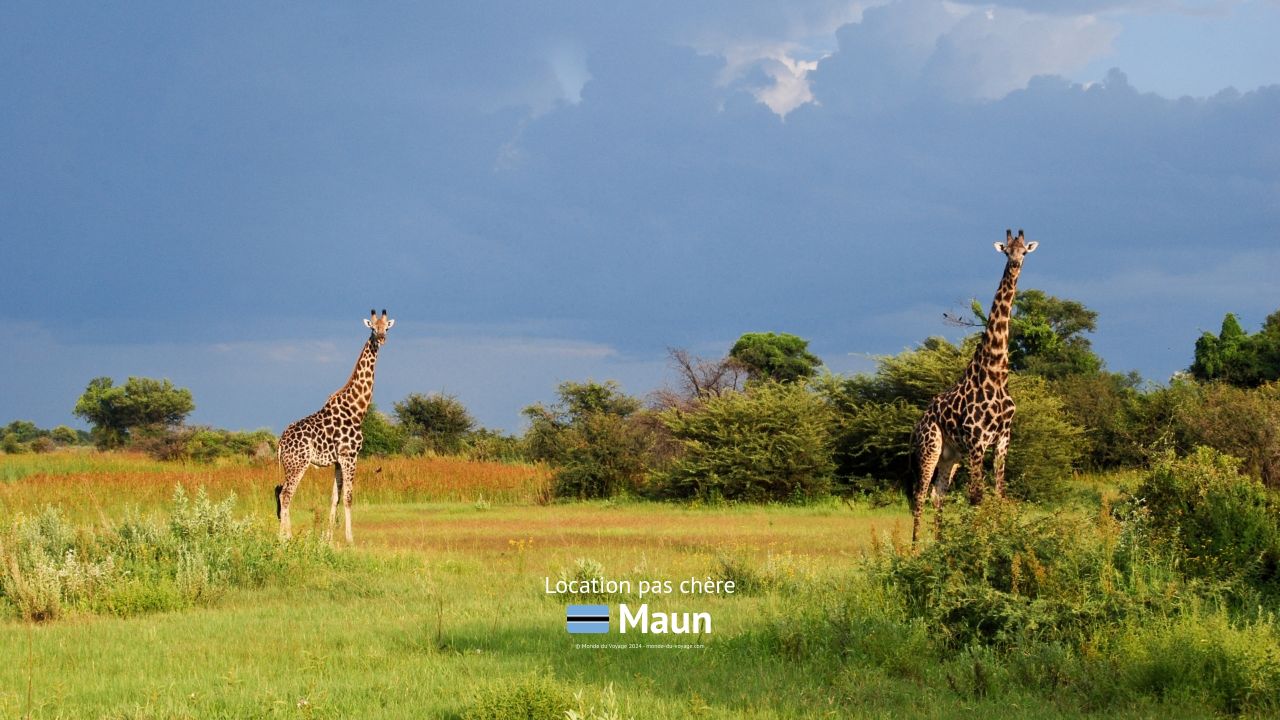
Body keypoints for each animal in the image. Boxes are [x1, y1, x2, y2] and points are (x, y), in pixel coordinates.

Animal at [279, 307, 394, 538]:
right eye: (372, 328)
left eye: (386, 328)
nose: (381, 338)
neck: (357, 409)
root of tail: (280, 442)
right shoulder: (350, 455)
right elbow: (349, 497)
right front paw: (350, 538)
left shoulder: (338, 460)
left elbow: (335, 497)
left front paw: (328, 537)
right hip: (298, 464)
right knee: (286, 495)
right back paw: (286, 538)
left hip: (290, 465)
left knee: (281, 493)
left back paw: (285, 535)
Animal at [911, 229, 1039, 543]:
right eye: (1006, 251)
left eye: (1024, 252)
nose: (1015, 265)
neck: (995, 373)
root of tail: (920, 421)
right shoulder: (977, 441)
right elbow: (976, 496)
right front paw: (980, 543)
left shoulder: (1003, 439)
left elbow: (998, 494)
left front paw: (998, 538)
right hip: (930, 446)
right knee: (920, 493)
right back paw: (914, 547)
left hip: (952, 455)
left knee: (938, 493)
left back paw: (939, 544)